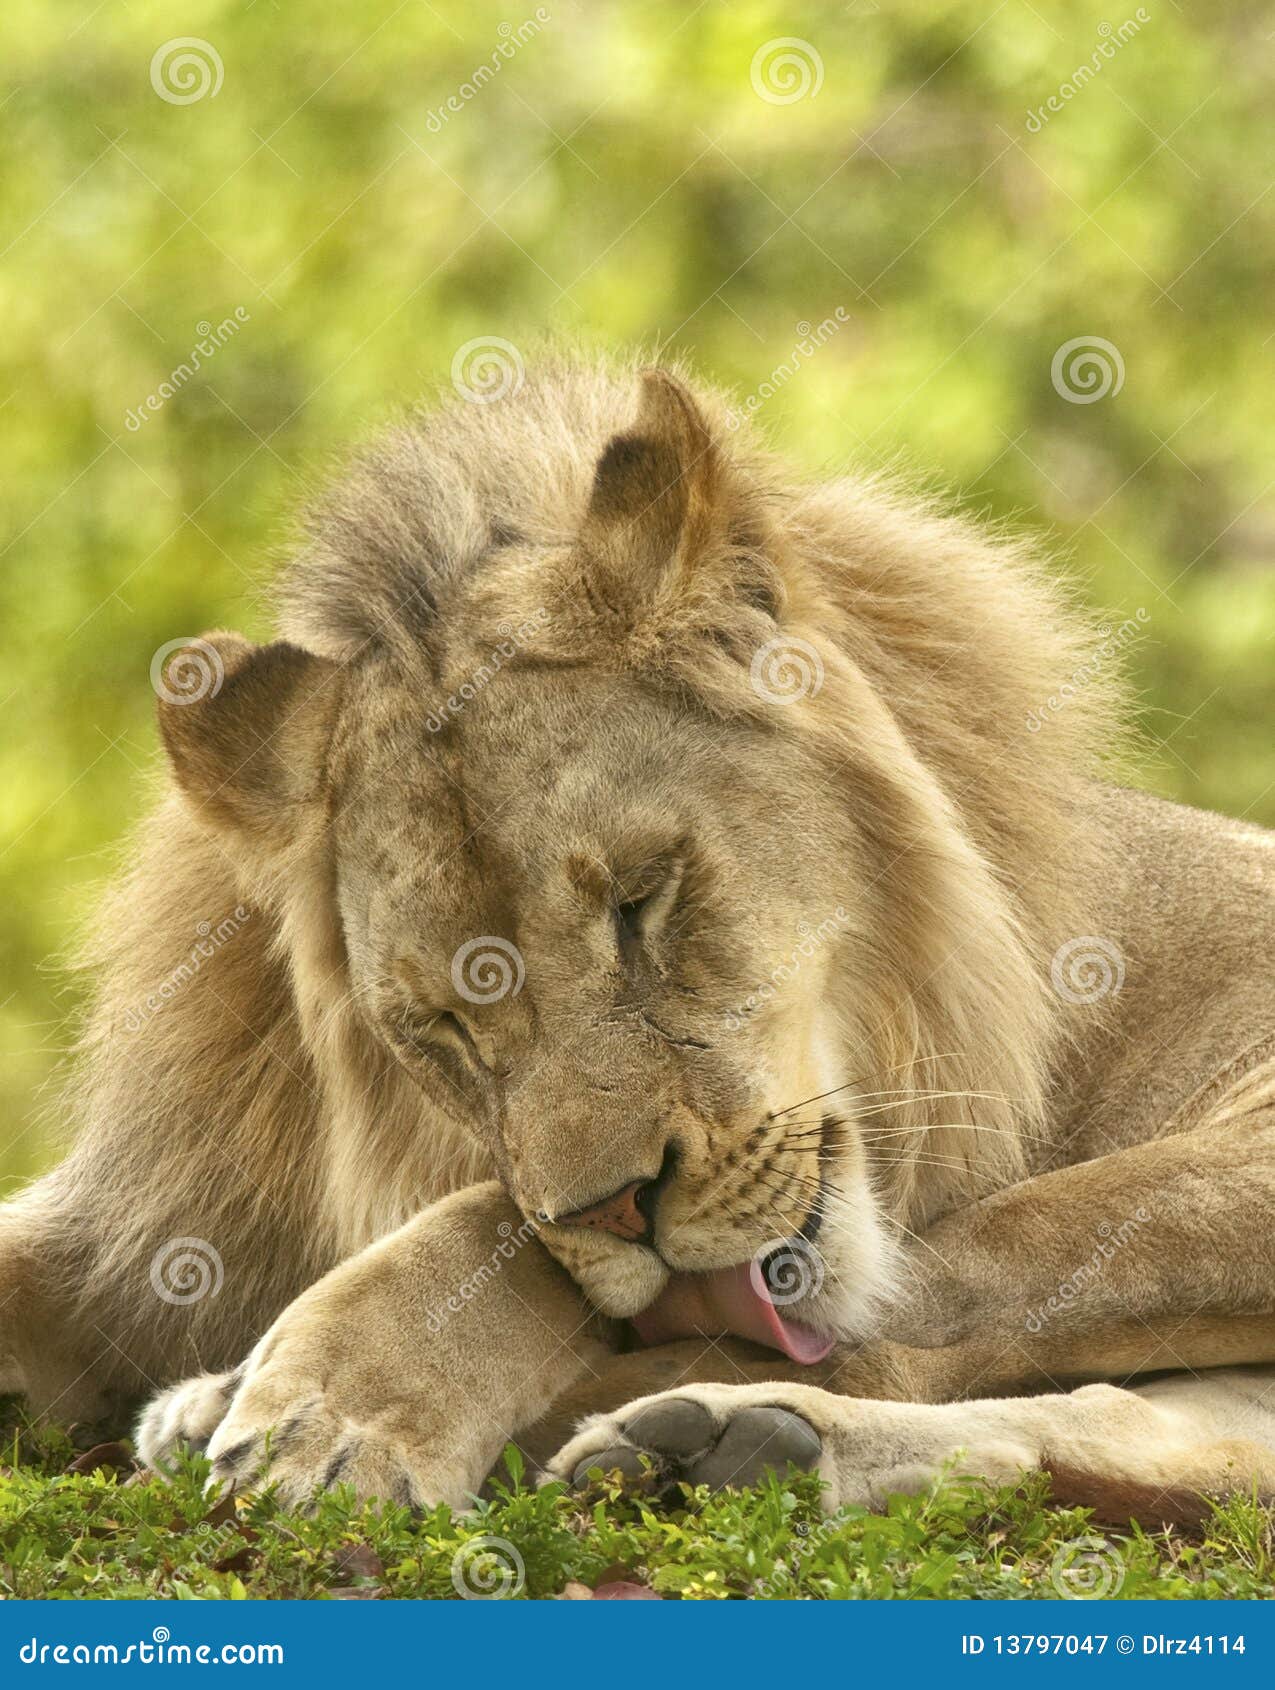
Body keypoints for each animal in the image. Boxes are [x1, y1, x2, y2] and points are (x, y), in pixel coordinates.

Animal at [3, 356, 1274, 1522]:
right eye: (440, 1025)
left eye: (641, 899)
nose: (615, 1211)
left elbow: (519, 1224)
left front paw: (341, 1393)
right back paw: (725, 1447)